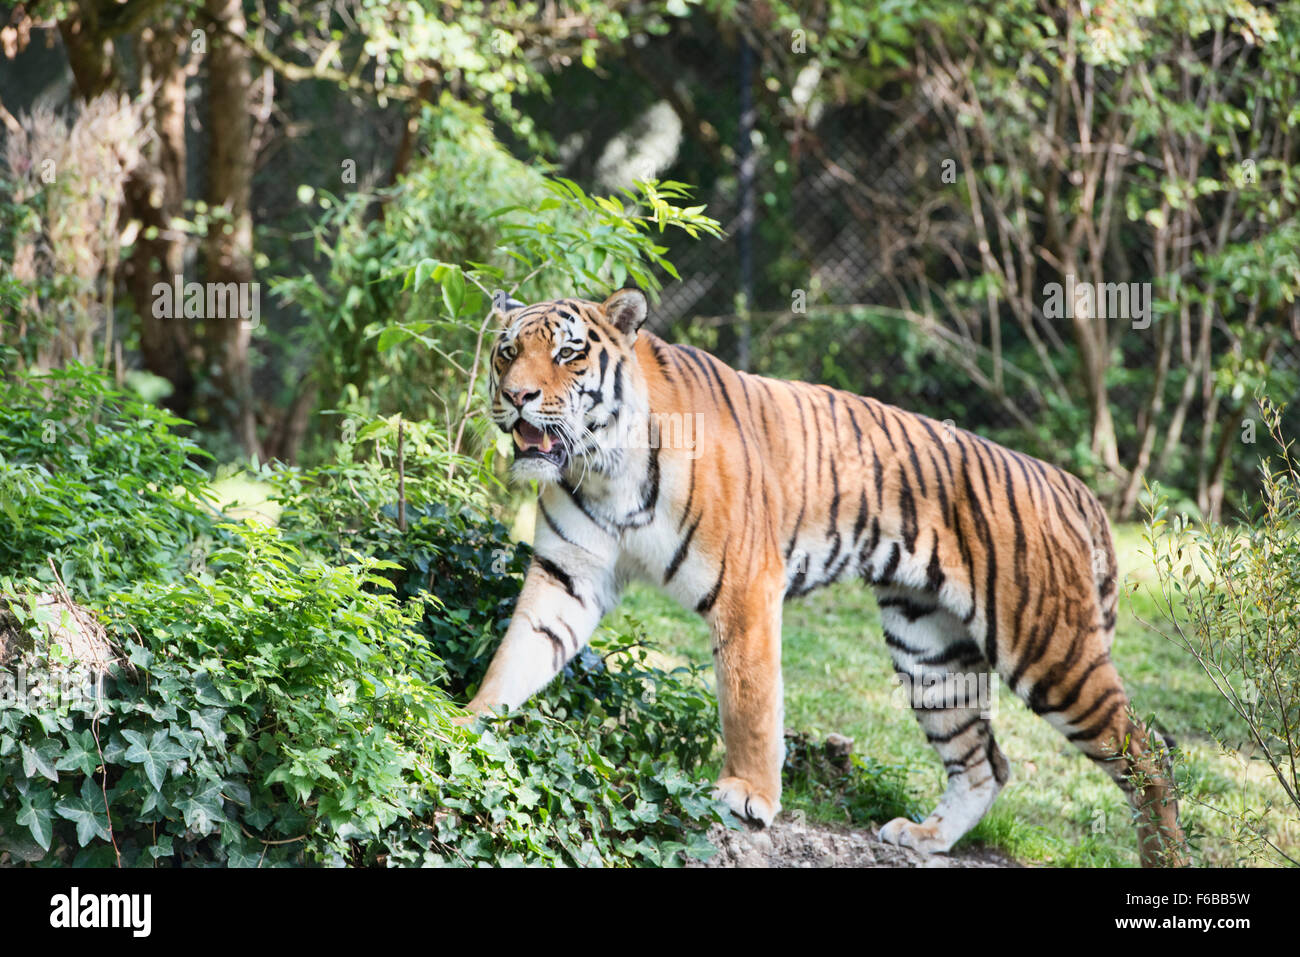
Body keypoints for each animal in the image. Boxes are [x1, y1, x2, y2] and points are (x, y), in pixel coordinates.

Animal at [463, 287, 1185, 867]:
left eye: (568, 354)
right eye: (507, 352)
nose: (516, 397)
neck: (603, 466)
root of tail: (1070, 484)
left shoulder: (746, 587)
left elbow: (749, 700)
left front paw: (747, 796)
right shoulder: (568, 574)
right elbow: (517, 655)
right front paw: (467, 724)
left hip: (1047, 648)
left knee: (1151, 752)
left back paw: (1164, 856)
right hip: (930, 648)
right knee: (986, 762)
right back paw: (926, 837)